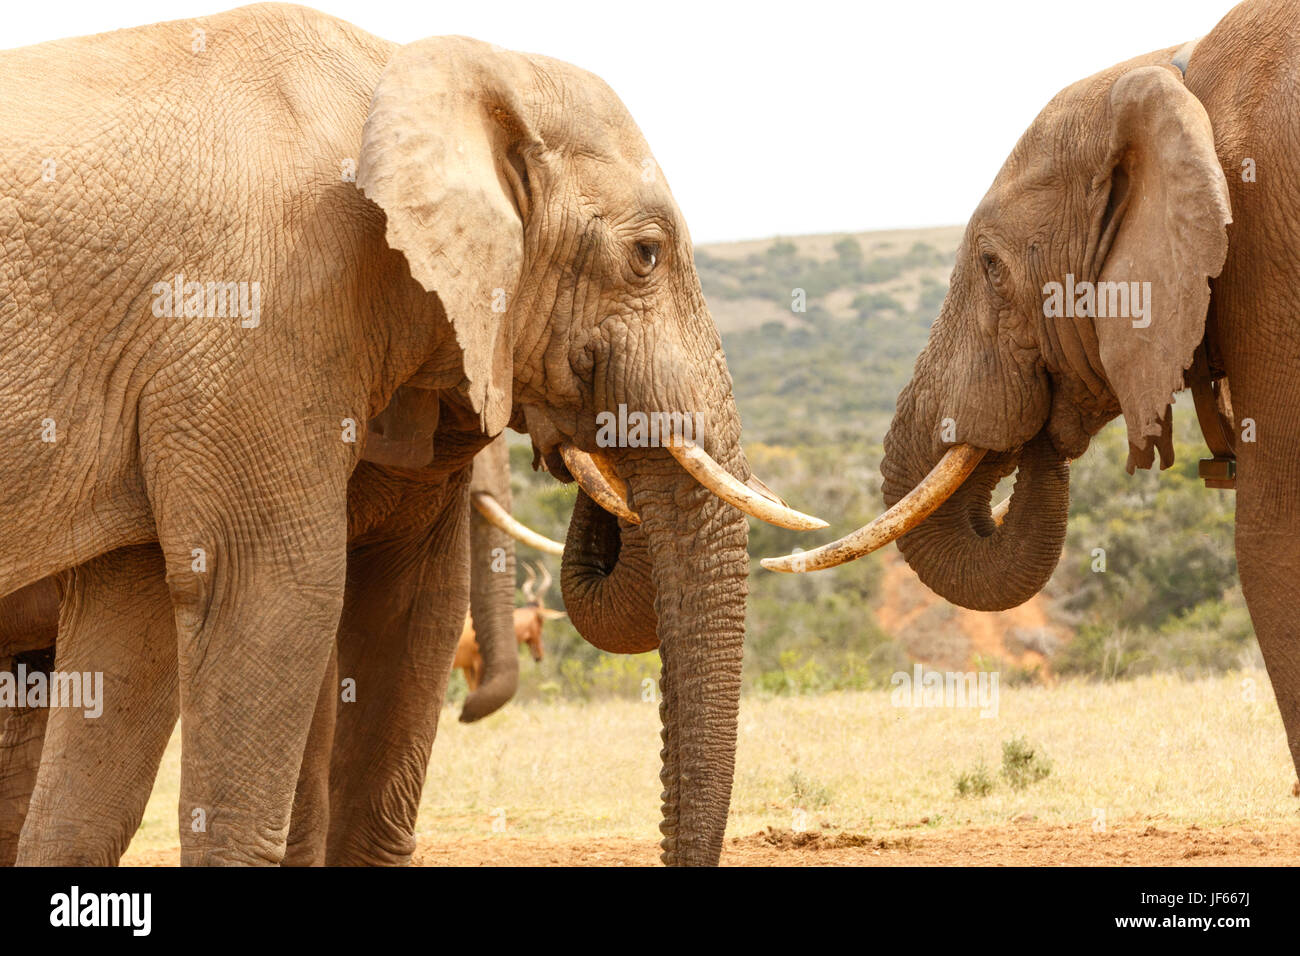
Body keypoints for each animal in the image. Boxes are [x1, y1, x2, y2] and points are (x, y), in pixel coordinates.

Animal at [0, 4, 823, 865]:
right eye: (646, 255)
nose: (591, 451)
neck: (430, 66)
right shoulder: (255, 320)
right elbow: (276, 588)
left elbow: (402, 605)